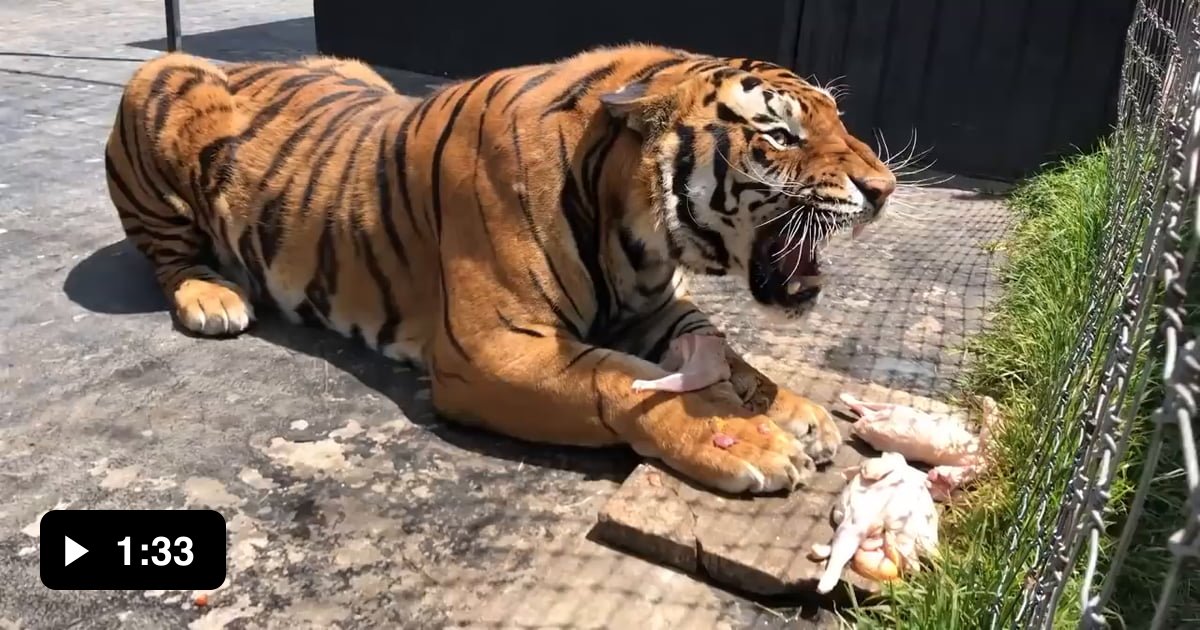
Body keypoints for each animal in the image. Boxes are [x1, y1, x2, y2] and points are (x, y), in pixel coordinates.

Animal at [104, 43, 896, 495]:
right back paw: (212, 296)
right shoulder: (492, 349)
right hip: (158, 87)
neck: (634, 228)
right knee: (165, 254)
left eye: (835, 118)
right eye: (780, 134)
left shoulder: (658, 309)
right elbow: (620, 382)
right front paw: (752, 440)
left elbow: (729, 358)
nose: (885, 189)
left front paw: (795, 412)